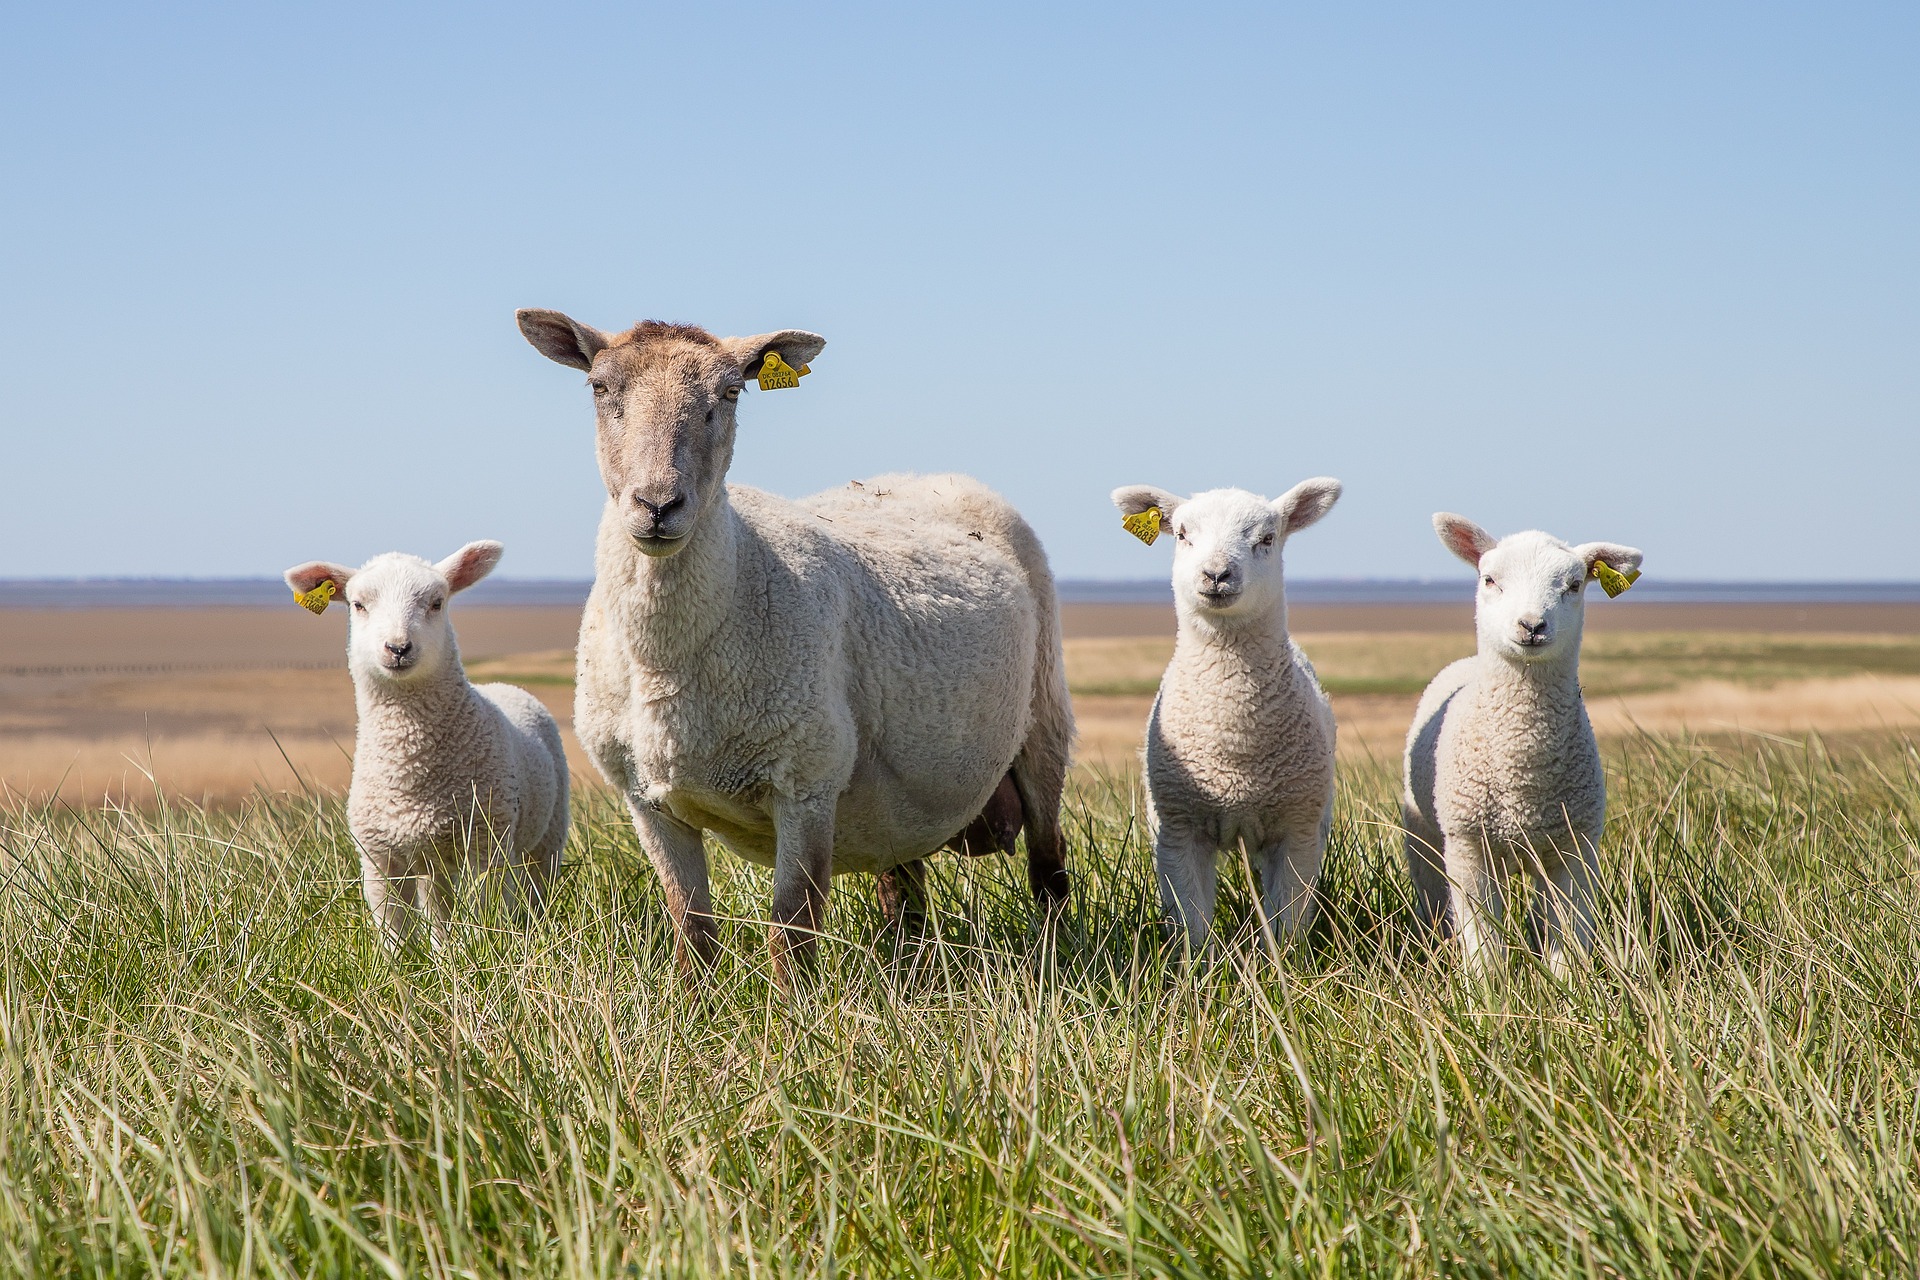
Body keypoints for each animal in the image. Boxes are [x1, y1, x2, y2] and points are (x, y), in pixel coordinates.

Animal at [283, 542, 570, 949]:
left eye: (436, 602)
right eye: (358, 604)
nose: (398, 647)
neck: (411, 770)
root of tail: (503, 685)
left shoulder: (485, 844)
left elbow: (485, 912)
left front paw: (484, 952)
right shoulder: (378, 857)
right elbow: (393, 932)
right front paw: (401, 965)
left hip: (545, 837)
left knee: (535, 890)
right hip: (433, 859)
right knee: (439, 909)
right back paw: (442, 952)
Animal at [516, 309, 1075, 984]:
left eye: (731, 393)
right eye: (600, 388)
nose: (657, 505)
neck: (669, 660)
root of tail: (924, 476)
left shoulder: (806, 781)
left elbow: (792, 927)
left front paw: (792, 1010)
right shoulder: (646, 799)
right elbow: (689, 927)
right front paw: (696, 1003)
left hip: (1043, 719)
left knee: (1049, 866)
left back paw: (1055, 961)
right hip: (898, 800)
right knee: (904, 889)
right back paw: (908, 974)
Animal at [1109, 478, 1343, 952]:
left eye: (1268, 538)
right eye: (1182, 534)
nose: (1216, 574)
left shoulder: (1297, 828)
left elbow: (1288, 922)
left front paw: (1284, 965)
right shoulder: (1177, 829)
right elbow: (1191, 924)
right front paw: (1198, 967)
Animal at [1401, 514, 1644, 977]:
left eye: (1574, 584)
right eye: (1489, 579)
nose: (1531, 626)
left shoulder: (1575, 848)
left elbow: (1568, 932)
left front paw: (1568, 987)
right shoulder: (1468, 847)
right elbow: (1481, 938)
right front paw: (1486, 988)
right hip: (1425, 835)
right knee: (1435, 897)